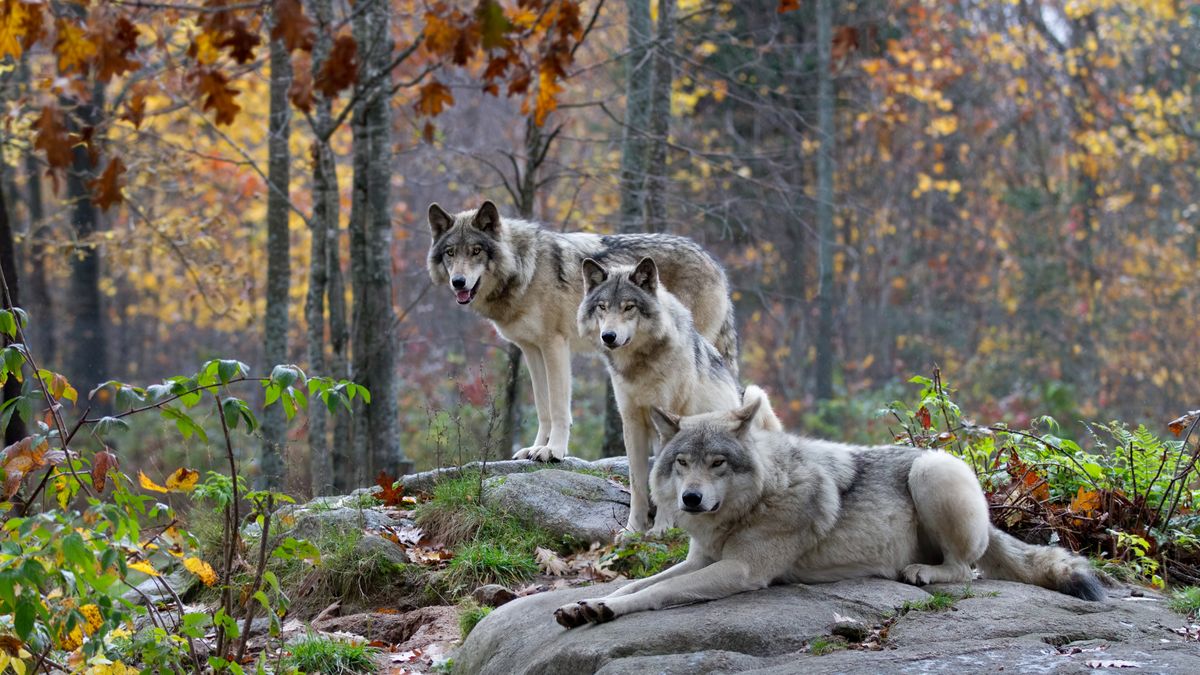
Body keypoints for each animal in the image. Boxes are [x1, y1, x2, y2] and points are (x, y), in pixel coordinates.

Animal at [427, 200, 737, 462]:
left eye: (476, 251)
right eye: (451, 253)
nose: (458, 282)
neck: (526, 269)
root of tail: (716, 264)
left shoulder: (554, 345)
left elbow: (558, 407)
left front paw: (553, 451)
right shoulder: (531, 349)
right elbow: (542, 407)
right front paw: (535, 448)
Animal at [555, 392, 1105, 627]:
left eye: (717, 463)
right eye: (683, 463)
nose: (691, 498)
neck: (759, 497)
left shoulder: (741, 570)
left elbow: (657, 592)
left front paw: (607, 610)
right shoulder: (701, 560)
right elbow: (635, 584)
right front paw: (588, 603)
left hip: (931, 470)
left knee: (966, 571)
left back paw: (922, 572)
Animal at [577, 256, 780, 534]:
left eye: (629, 307)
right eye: (602, 307)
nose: (608, 336)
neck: (641, 366)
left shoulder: (668, 420)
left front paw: (661, 528)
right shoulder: (631, 422)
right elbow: (638, 483)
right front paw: (632, 530)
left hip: (753, 394)